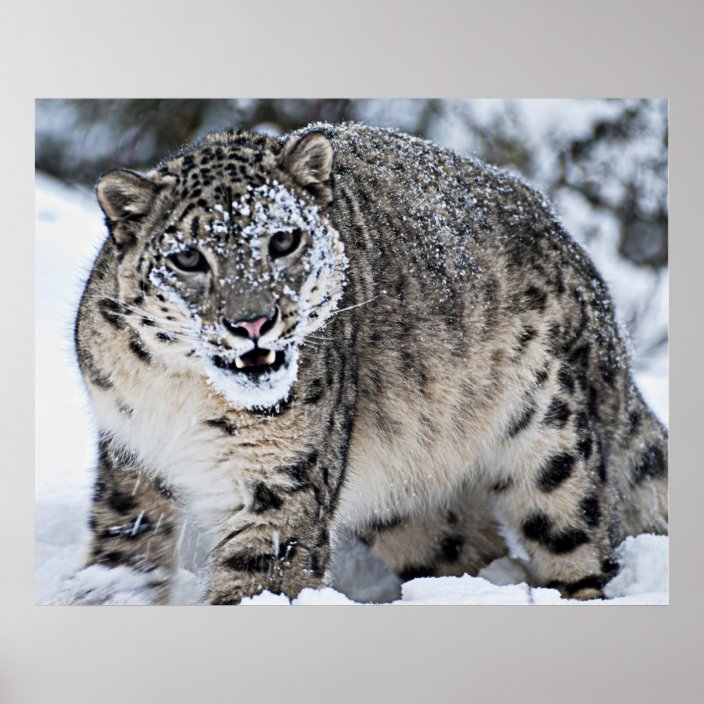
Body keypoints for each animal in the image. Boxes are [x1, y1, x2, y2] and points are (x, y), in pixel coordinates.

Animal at [71, 122, 668, 604]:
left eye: (283, 240)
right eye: (188, 257)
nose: (253, 322)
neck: (185, 399)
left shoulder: (280, 483)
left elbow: (259, 577)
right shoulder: (130, 452)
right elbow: (125, 540)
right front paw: (110, 594)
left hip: (551, 438)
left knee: (580, 542)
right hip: (412, 508)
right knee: (470, 548)